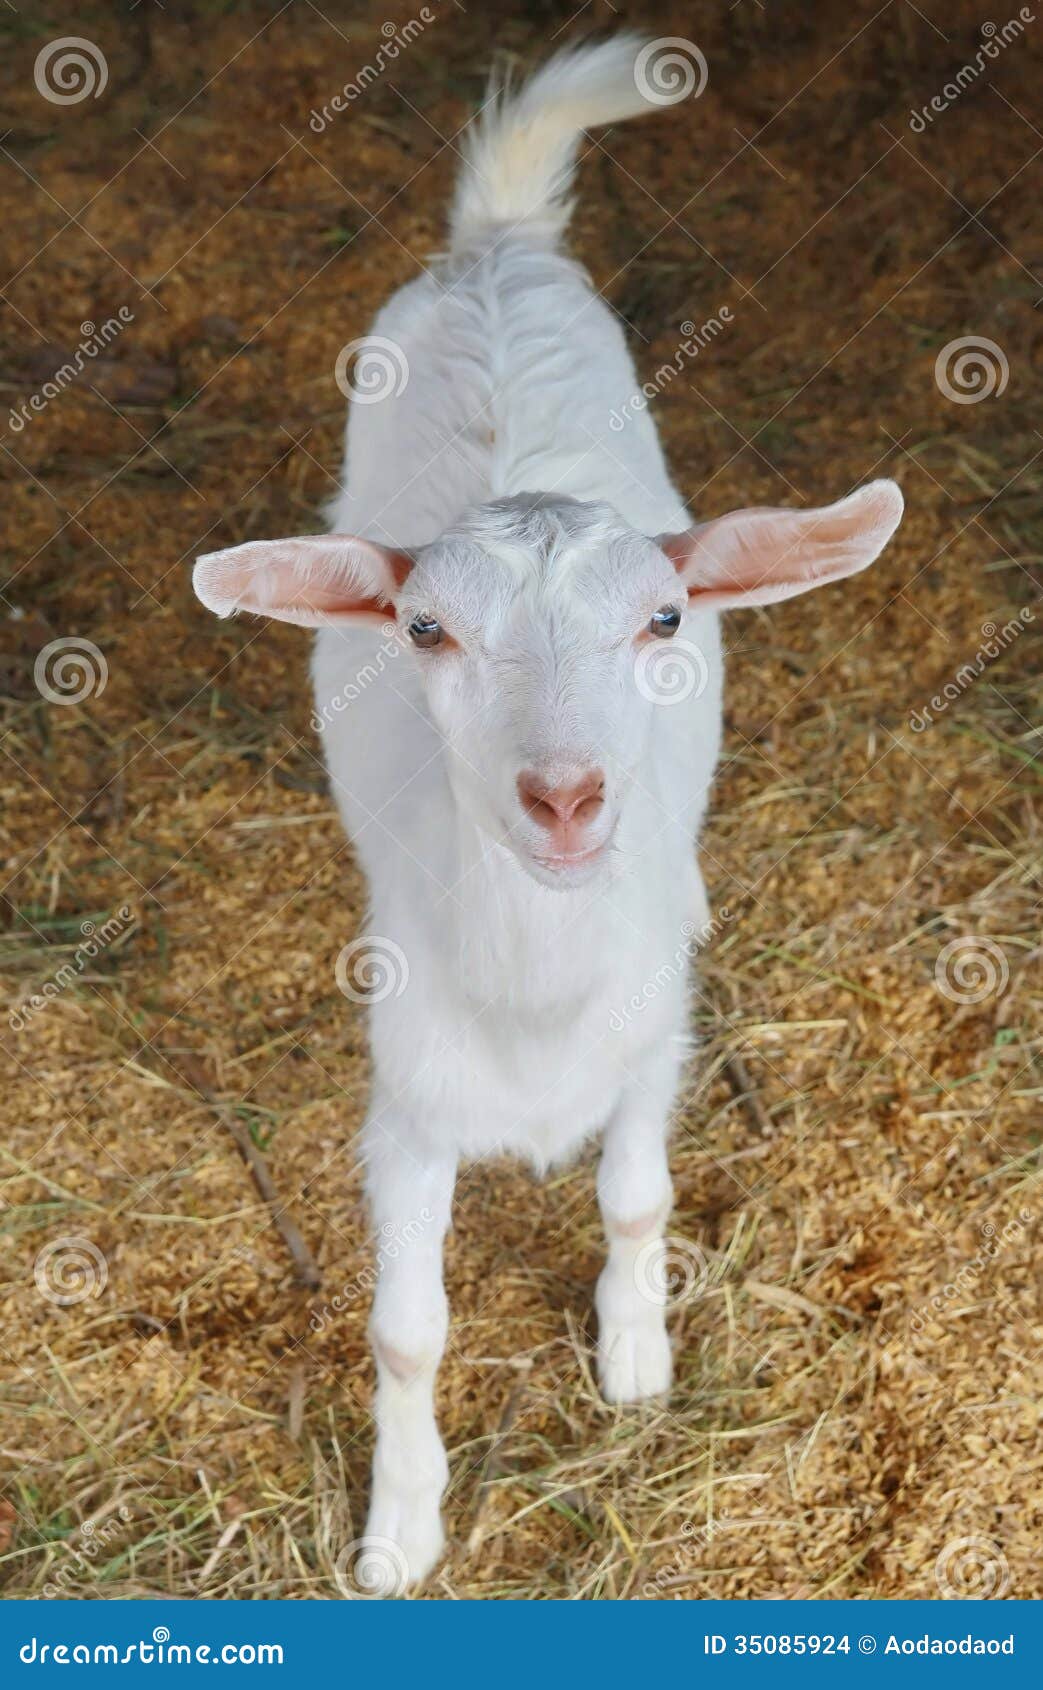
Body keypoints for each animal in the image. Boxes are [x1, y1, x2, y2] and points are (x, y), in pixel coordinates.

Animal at [193, 34, 903, 1593]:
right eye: (422, 629)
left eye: (662, 619)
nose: (565, 795)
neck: (534, 998)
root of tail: (498, 248)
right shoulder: (402, 1106)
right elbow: (406, 1329)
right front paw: (398, 1532)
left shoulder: (655, 1040)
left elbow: (637, 1198)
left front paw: (634, 1360)